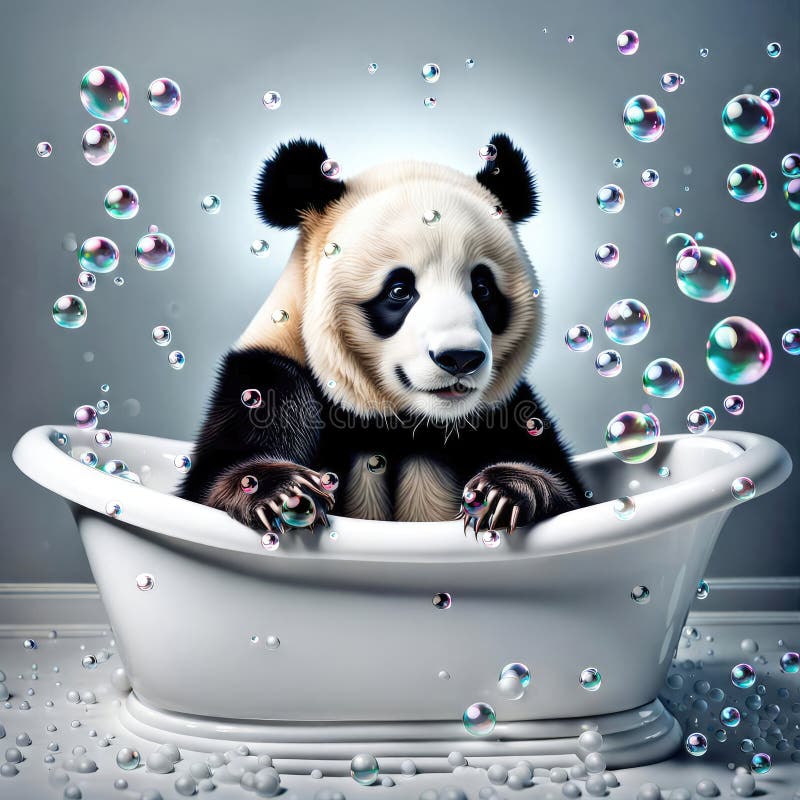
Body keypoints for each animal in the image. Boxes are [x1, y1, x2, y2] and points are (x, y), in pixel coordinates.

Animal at [179, 133, 588, 537]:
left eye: (483, 288)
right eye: (399, 290)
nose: (460, 358)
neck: (404, 426)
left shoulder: (504, 409)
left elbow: (566, 490)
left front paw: (502, 492)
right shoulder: (268, 377)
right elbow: (211, 483)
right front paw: (283, 493)